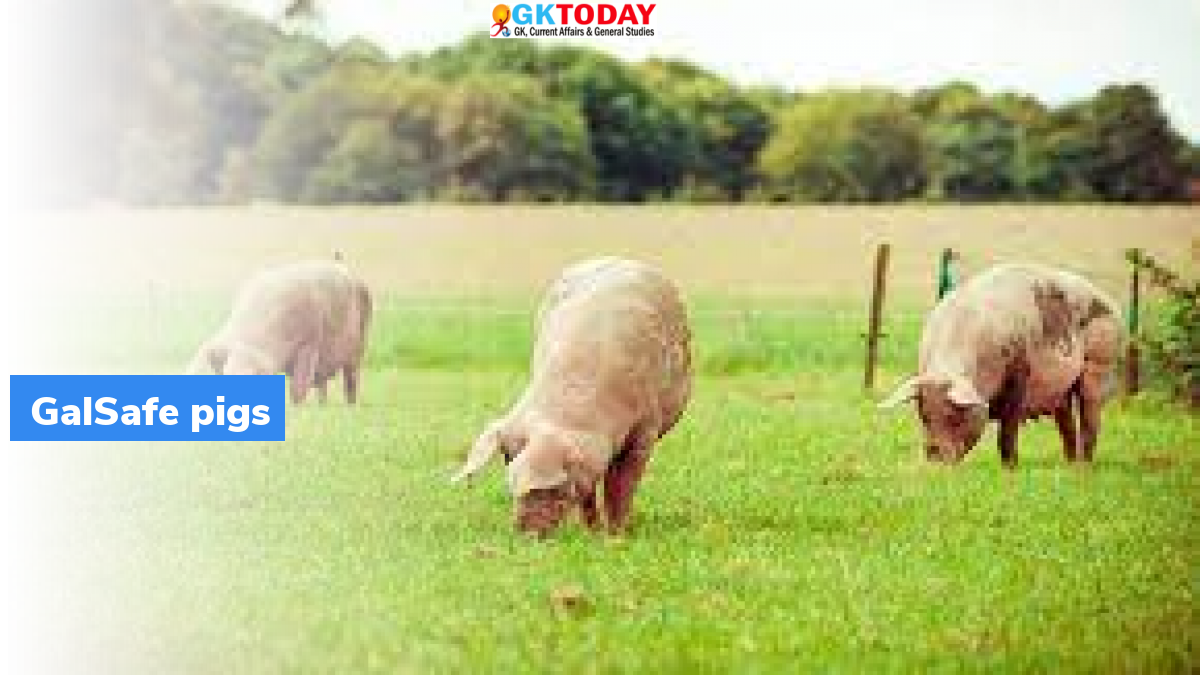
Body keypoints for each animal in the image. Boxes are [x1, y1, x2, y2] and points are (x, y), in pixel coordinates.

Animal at [185, 253, 373, 405]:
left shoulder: (310, 342)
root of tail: (341, 263)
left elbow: (298, 389)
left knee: (351, 377)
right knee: (322, 382)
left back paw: (350, 407)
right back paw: (323, 407)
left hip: (361, 340)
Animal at [451, 257, 693, 536]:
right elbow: (590, 491)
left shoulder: (646, 427)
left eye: (553, 487)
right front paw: (591, 532)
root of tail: (618, 257)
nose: (525, 534)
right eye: (507, 459)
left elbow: (621, 485)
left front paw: (617, 535)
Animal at [880, 262, 1125, 468]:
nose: (935, 459)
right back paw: (1069, 465)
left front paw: (1010, 469)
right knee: (1066, 422)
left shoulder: (1019, 375)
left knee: (1090, 416)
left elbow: (1007, 430)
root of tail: (1113, 304)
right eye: (924, 416)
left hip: (1101, 362)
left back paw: (1084, 467)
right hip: (1061, 390)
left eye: (956, 416)